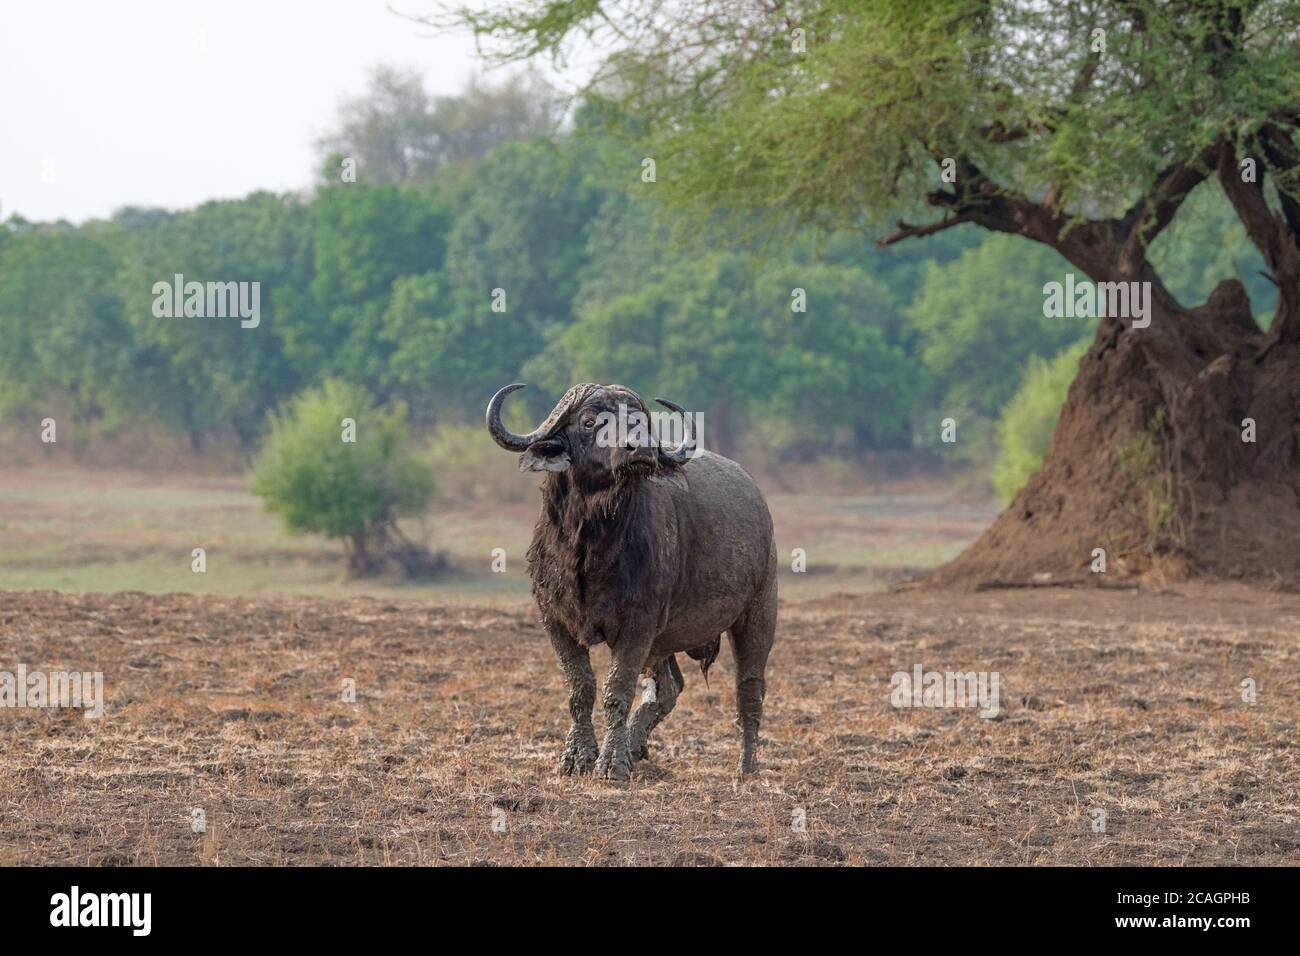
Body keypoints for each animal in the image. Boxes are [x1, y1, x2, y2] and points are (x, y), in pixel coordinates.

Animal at [487, 382, 778, 780]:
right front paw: (578, 757)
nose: (639, 448)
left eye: (640, 421)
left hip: (758, 612)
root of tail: (760, 503)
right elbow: (580, 688)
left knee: (748, 690)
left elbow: (617, 690)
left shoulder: (638, 625)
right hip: (664, 640)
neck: (589, 547)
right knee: (670, 687)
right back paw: (637, 743)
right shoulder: (554, 620)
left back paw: (747, 767)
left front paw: (611, 762)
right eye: (590, 421)